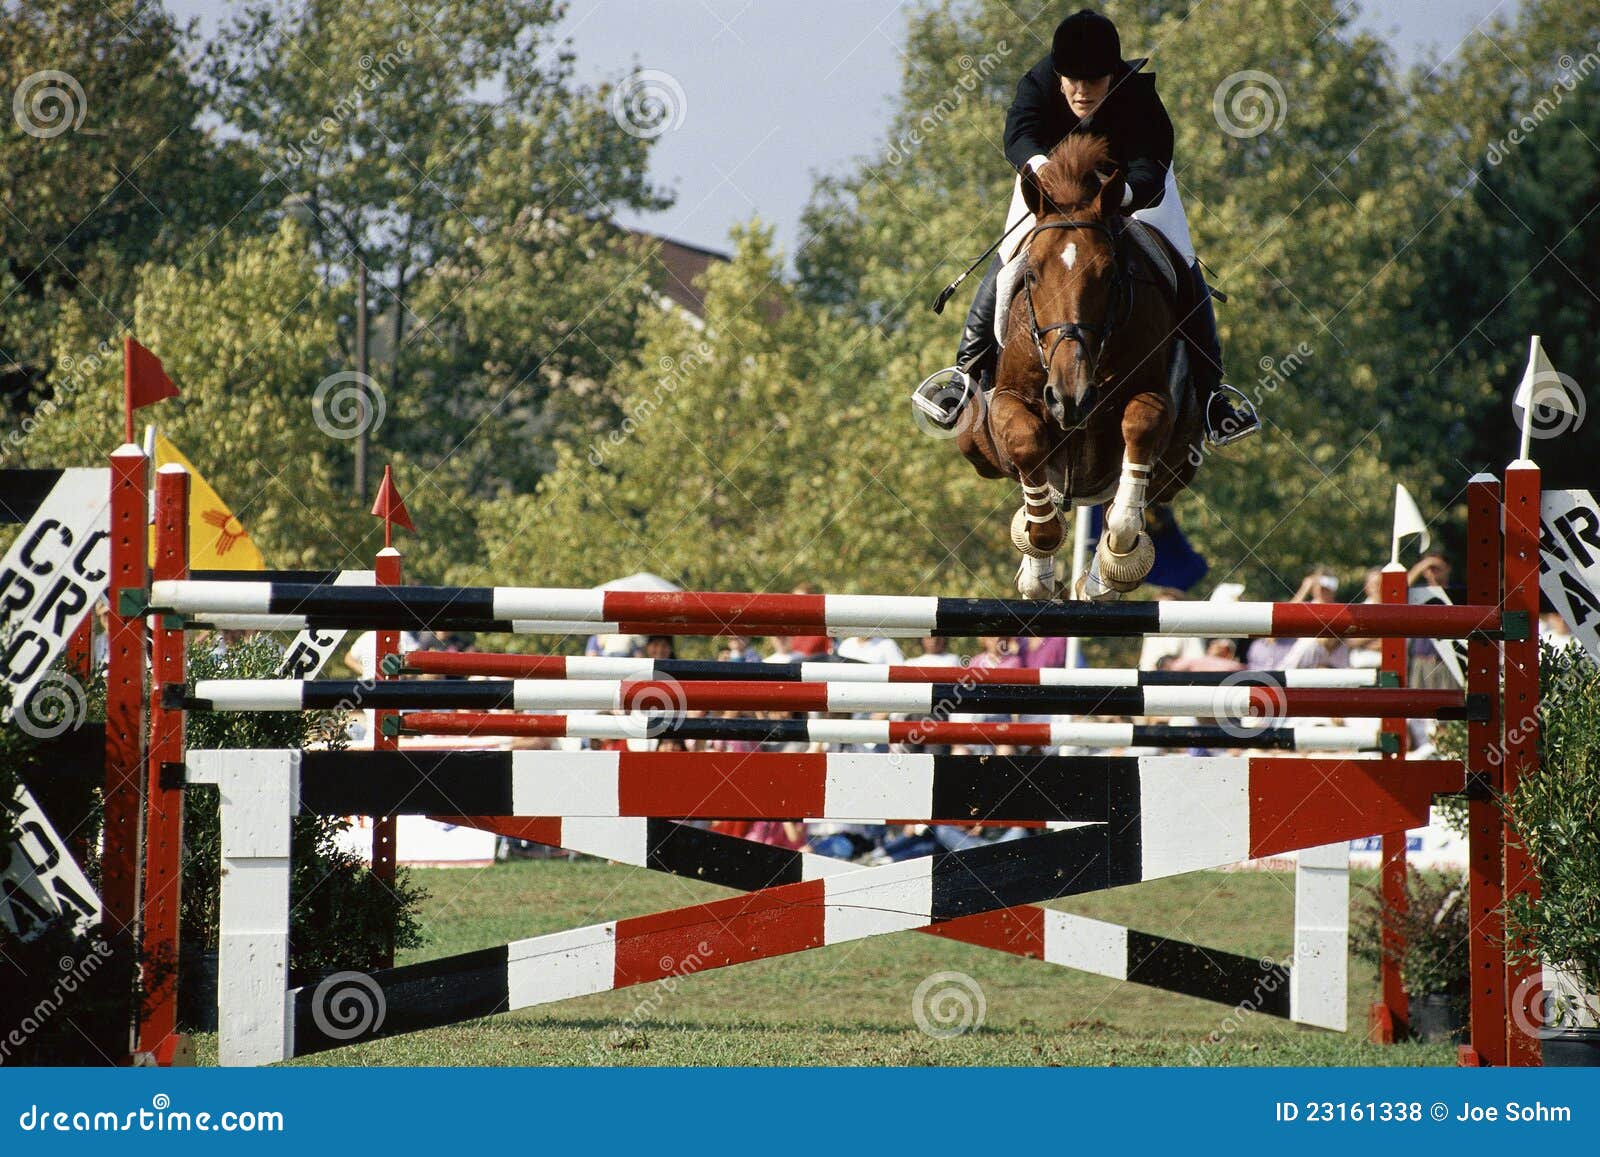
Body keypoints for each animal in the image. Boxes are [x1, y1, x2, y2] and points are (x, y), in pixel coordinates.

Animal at [955, 134, 1203, 600]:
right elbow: (1026, 440)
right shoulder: (1006, 402)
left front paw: (1117, 557)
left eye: (1109, 275)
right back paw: (1038, 572)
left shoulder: (1156, 397)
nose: (1070, 397)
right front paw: (1039, 551)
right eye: (1032, 274)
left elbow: (1139, 431)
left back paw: (1099, 582)